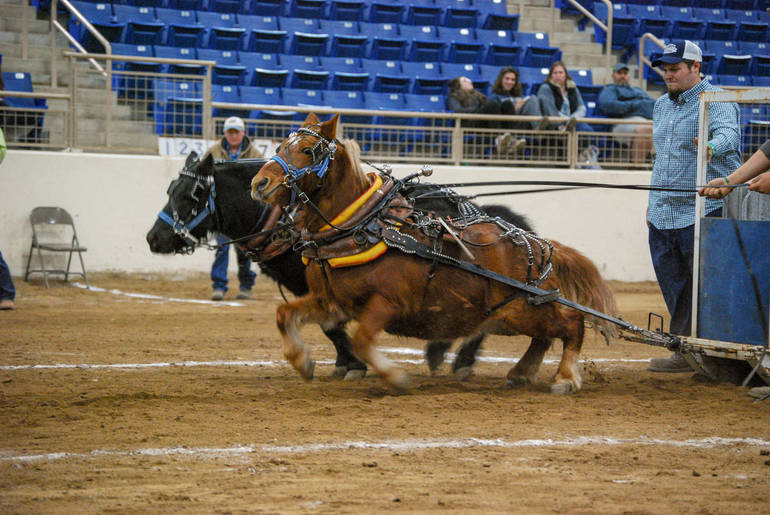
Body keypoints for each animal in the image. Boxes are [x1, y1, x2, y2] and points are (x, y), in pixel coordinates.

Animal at [145, 151, 534, 380]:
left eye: (191, 195)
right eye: (168, 190)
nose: (154, 238)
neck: (286, 217)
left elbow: (331, 326)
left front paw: (351, 364)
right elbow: (326, 325)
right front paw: (343, 362)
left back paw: (460, 361)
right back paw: (443, 352)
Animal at [251, 113, 618, 394]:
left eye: (308, 150)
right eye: (280, 146)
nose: (259, 183)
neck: (364, 226)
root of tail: (537, 244)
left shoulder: (387, 302)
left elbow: (363, 339)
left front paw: (395, 376)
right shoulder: (330, 301)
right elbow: (285, 315)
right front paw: (302, 361)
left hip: (523, 308)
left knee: (572, 324)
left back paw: (565, 377)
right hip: (510, 313)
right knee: (543, 337)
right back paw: (520, 372)